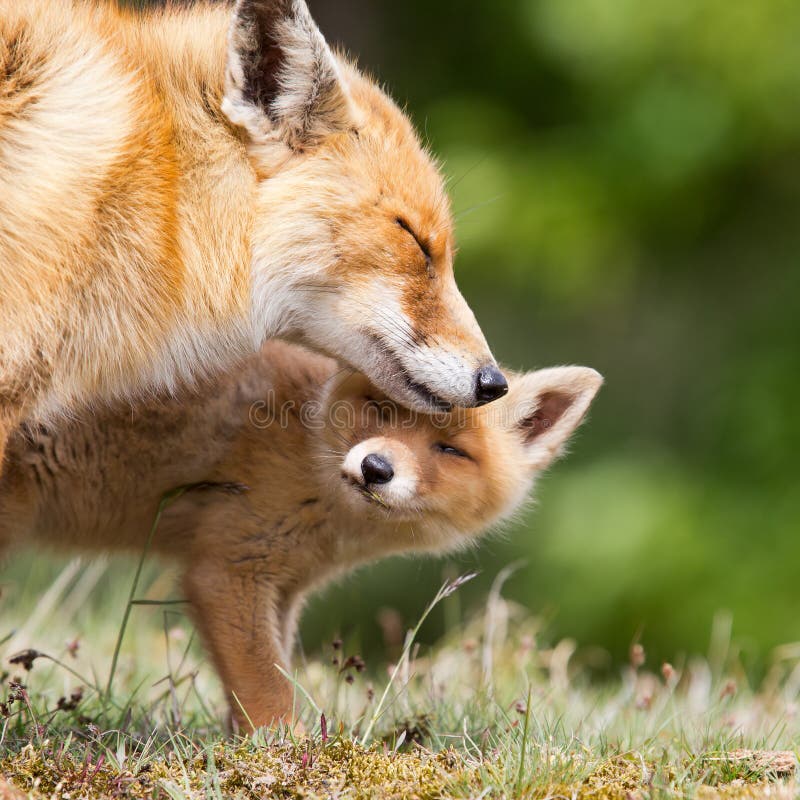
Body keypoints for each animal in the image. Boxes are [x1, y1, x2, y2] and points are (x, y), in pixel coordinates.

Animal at [0, 340, 602, 730]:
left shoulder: (285, 587)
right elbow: (268, 691)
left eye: (451, 450)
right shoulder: (228, 572)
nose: (376, 468)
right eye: (381, 409)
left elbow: (270, 675)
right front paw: (285, 755)